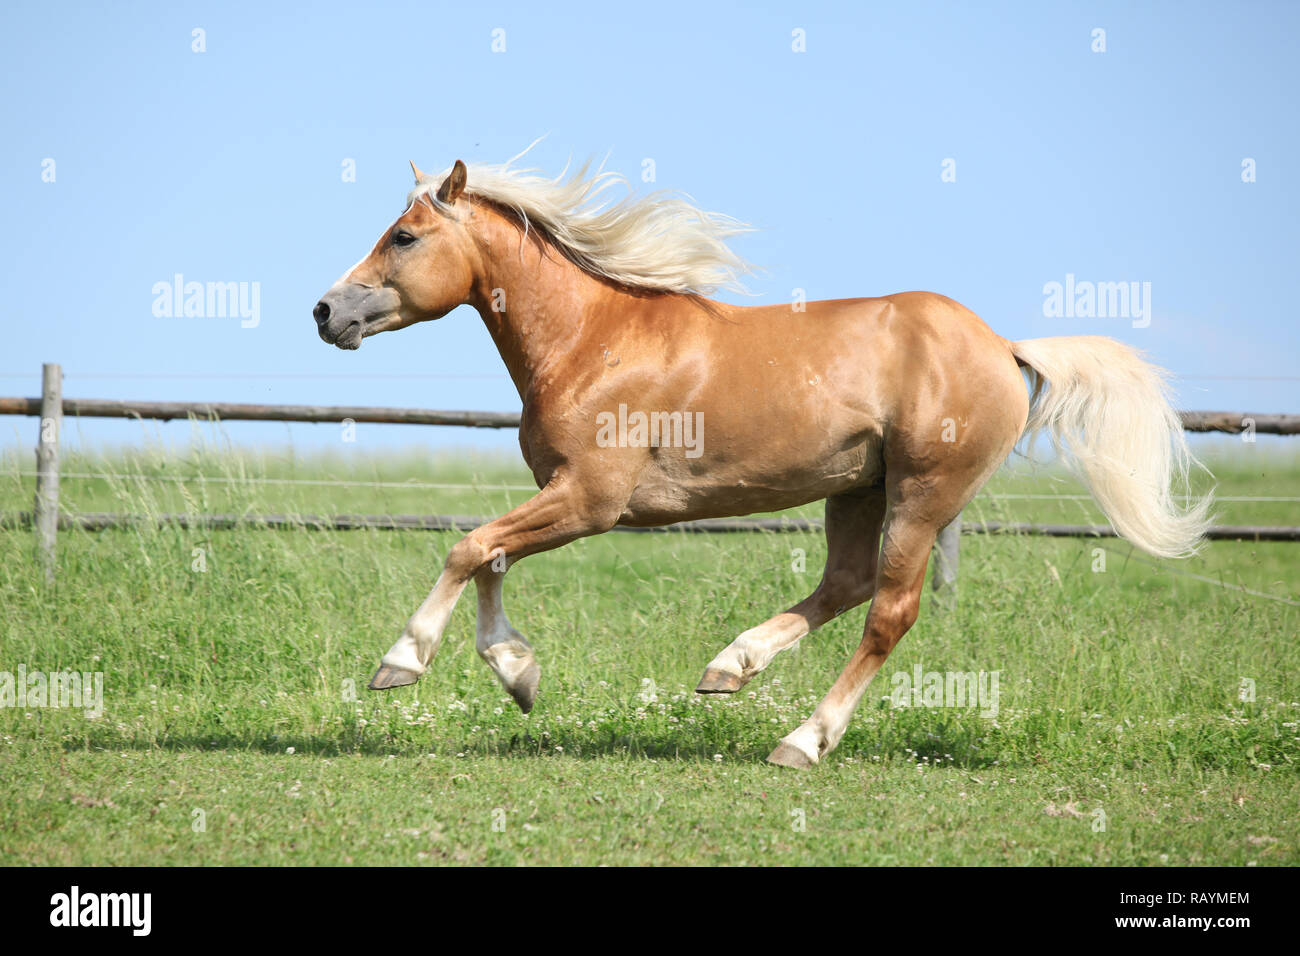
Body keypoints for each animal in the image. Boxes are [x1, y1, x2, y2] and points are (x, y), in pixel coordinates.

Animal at [312, 155, 1211, 768]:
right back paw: (730, 667)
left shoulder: (591, 500)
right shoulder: (565, 497)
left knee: (889, 612)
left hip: (923, 494)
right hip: (860, 489)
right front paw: (518, 672)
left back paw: (803, 741)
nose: (325, 311)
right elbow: (491, 555)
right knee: (846, 584)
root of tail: (1002, 345)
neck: (594, 339)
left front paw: (403, 663)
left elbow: (468, 546)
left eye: (404, 236)